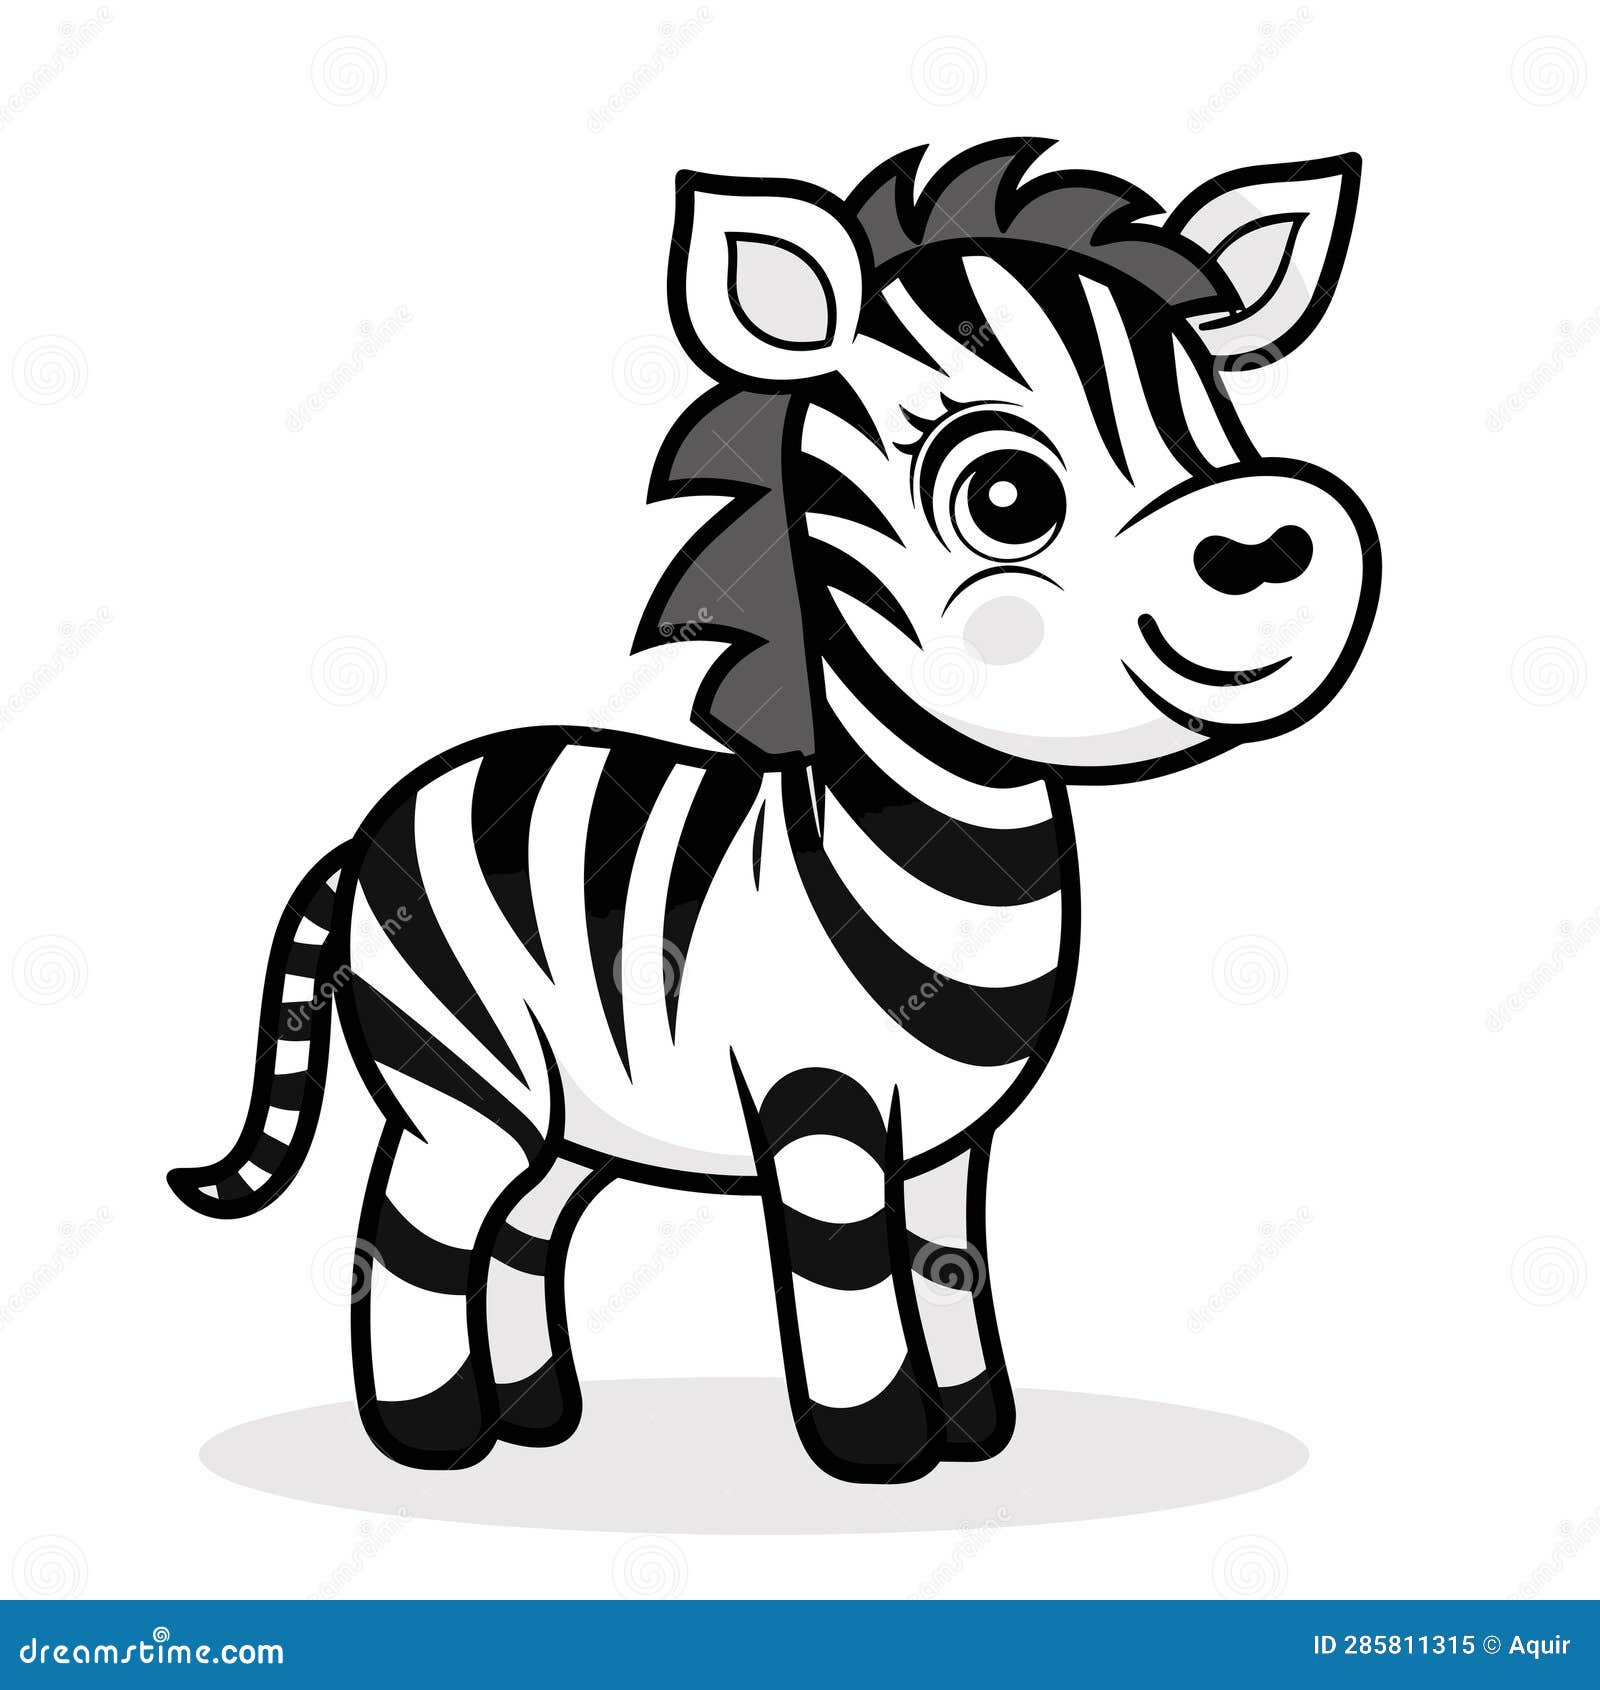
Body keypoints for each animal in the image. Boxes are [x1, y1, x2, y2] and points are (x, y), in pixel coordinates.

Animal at [170, 140, 1380, 1483]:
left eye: (1215, 439)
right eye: (1007, 498)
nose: (1272, 540)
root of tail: (376, 821)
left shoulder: (948, 1146)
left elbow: (949, 1270)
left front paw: (974, 1436)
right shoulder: (820, 1108)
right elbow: (847, 1283)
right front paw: (878, 1452)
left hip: (578, 1117)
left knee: (525, 1230)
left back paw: (536, 1417)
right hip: (469, 1082)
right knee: (417, 1225)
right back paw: (433, 1435)